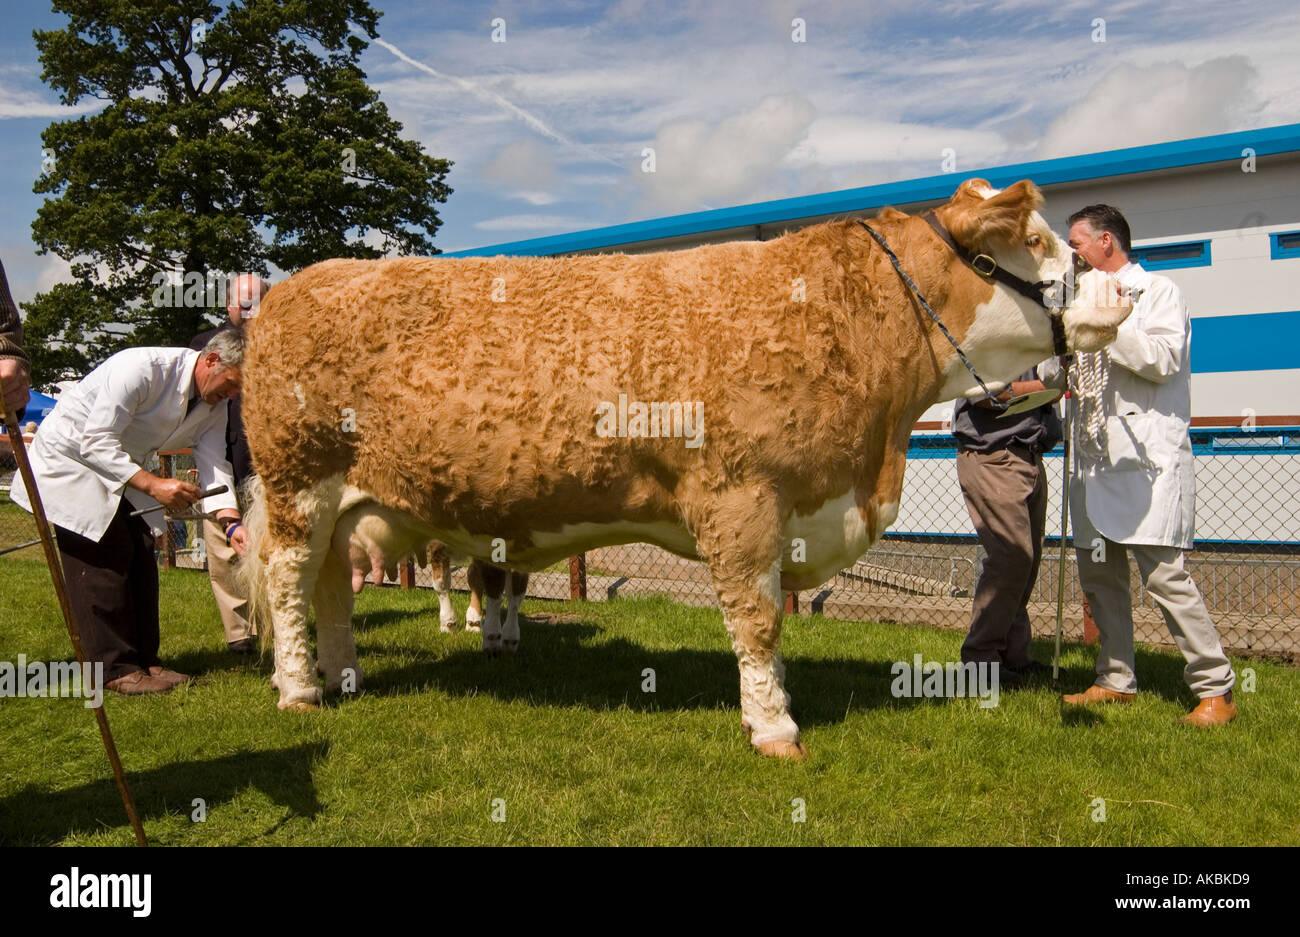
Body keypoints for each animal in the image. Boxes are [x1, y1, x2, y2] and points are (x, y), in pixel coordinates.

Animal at [239, 178, 1132, 759]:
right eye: (1039, 244)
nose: (1127, 289)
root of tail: (298, 283)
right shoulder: (743, 499)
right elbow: (758, 618)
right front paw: (774, 728)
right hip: (298, 482)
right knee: (287, 582)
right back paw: (299, 689)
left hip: (344, 503)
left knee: (329, 587)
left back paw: (344, 673)